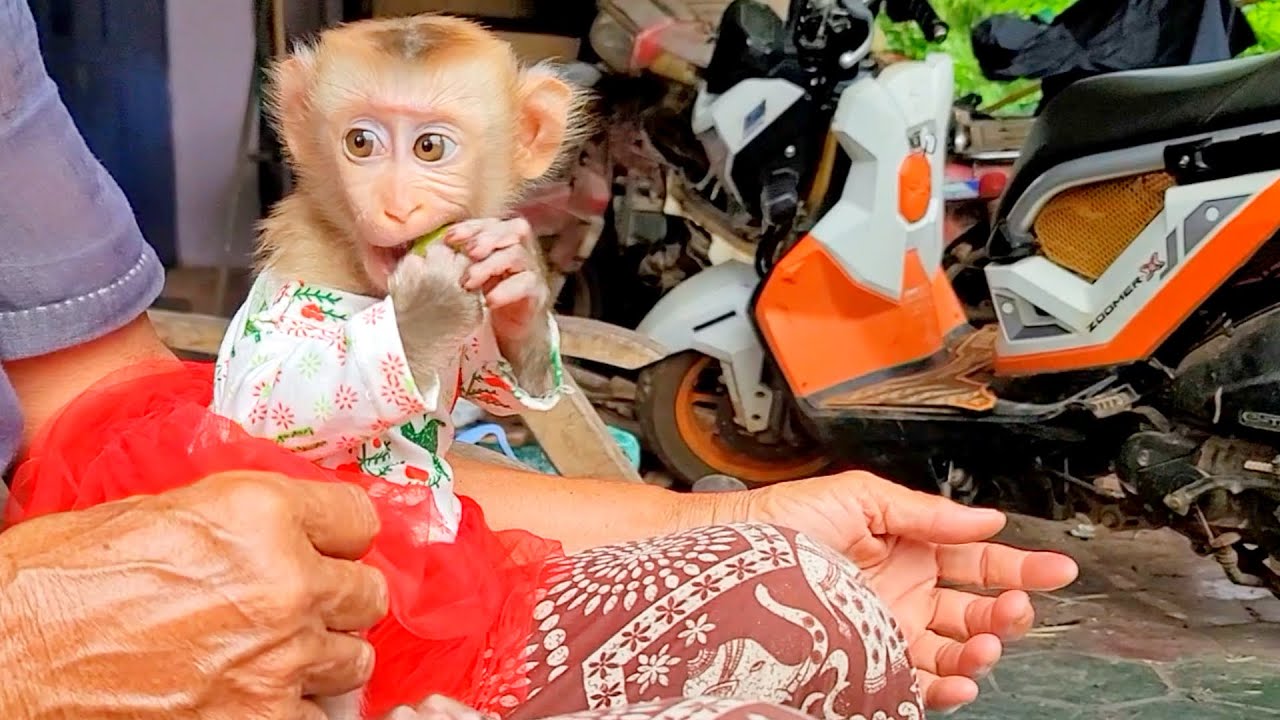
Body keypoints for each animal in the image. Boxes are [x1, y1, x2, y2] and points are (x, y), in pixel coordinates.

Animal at [206, 14, 588, 720]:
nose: (394, 207)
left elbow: (491, 373)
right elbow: (261, 399)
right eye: (361, 142)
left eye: (430, 148)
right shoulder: (292, 280)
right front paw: (424, 311)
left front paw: (523, 287)